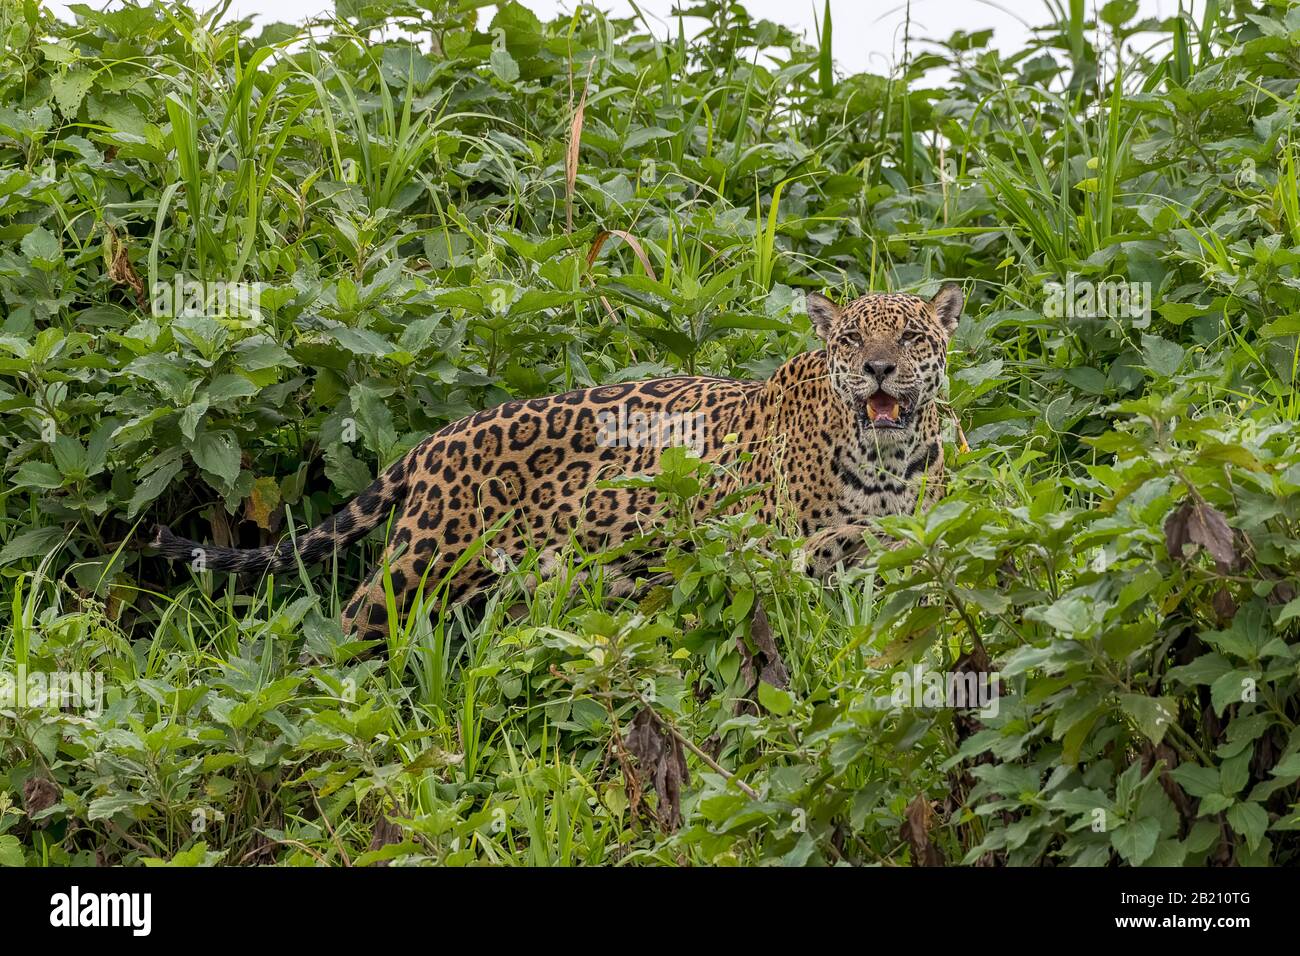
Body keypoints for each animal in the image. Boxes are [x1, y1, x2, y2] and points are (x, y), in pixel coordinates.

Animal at [150, 283, 964, 644]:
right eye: (851, 339)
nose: (880, 369)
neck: (885, 458)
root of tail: (433, 440)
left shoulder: (924, 528)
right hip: (424, 561)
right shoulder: (764, 540)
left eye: (911, 337)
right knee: (353, 618)